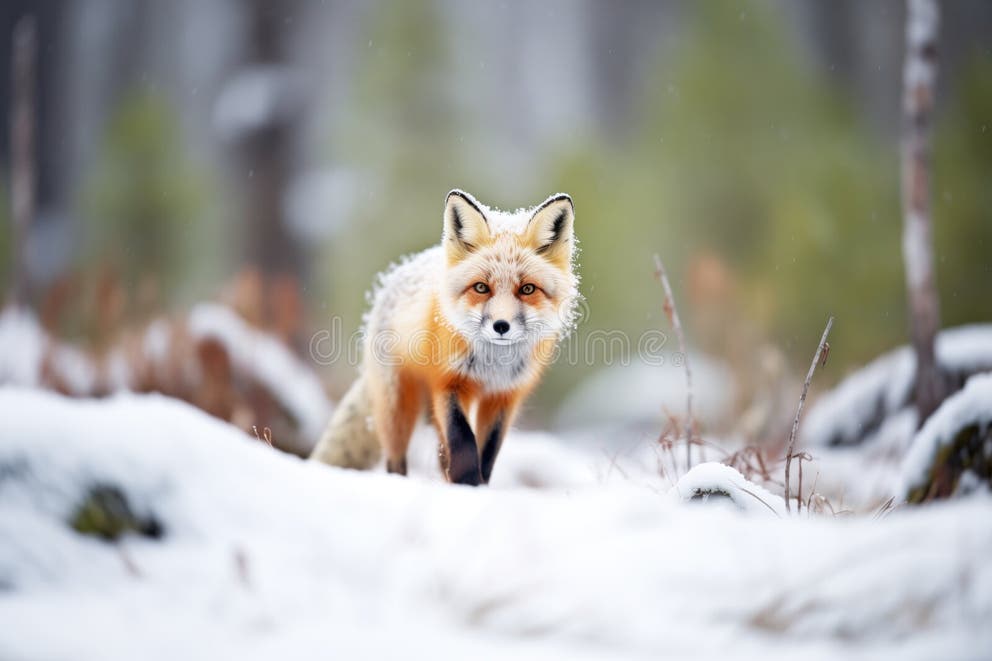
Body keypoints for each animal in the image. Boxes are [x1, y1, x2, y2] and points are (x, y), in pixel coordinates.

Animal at [309, 189, 579, 485]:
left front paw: (477, 485)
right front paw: (468, 484)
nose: (501, 326)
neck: (492, 365)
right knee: (395, 459)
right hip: (398, 406)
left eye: (528, 289)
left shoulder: (504, 395)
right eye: (481, 288)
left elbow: (487, 451)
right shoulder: (447, 383)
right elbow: (463, 441)